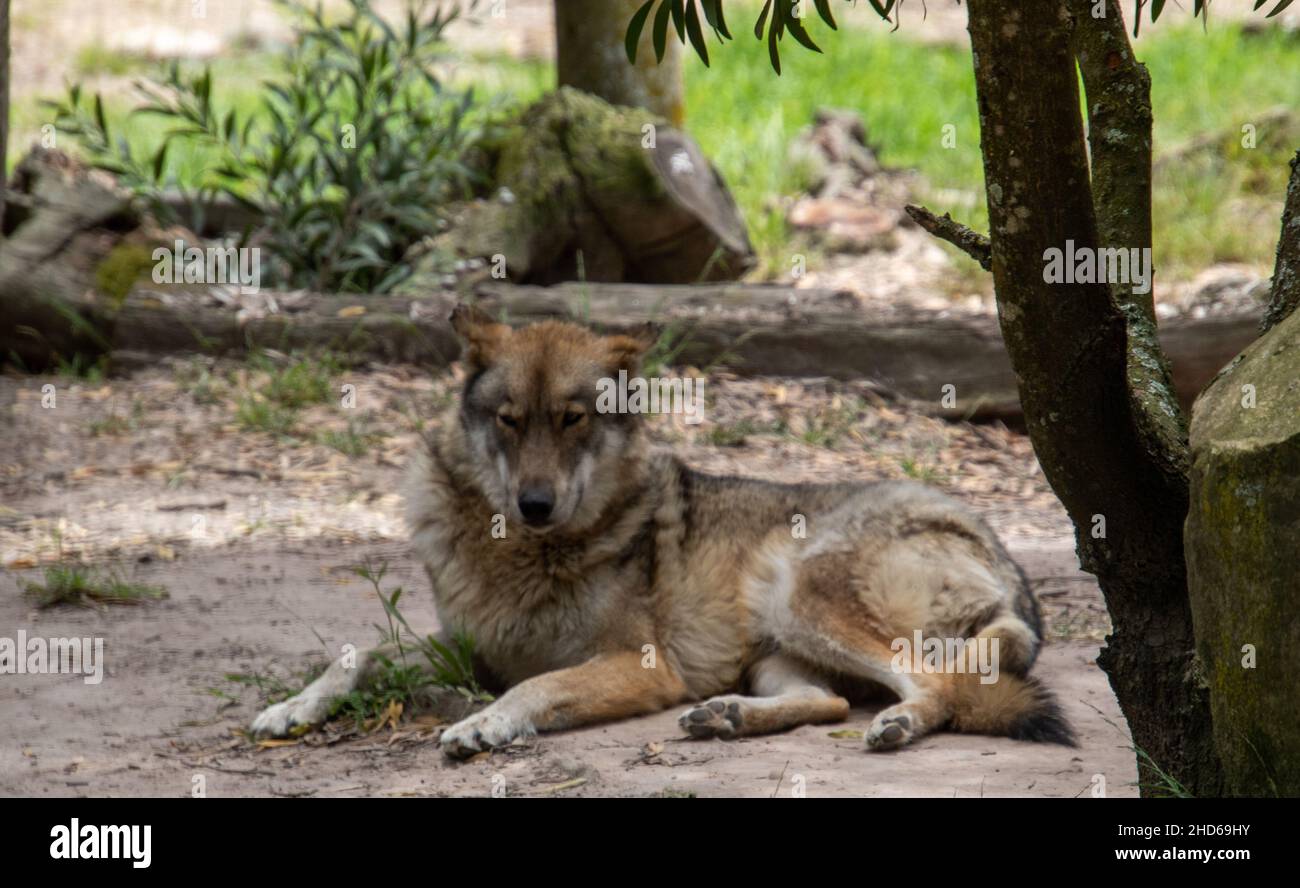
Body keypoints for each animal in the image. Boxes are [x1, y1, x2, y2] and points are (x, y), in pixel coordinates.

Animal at [251, 305, 1074, 757]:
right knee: (833, 704)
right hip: (777, 649)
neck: (524, 552)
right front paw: (291, 707)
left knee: (934, 686)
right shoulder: (468, 647)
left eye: (572, 420)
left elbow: (542, 683)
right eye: (510, 421)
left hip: (796, 593)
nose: (535, 503)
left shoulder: (645, 668)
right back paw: (726, 717)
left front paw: (486, 725)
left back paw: (897, 723)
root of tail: (1009, 566)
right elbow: (358, 655)